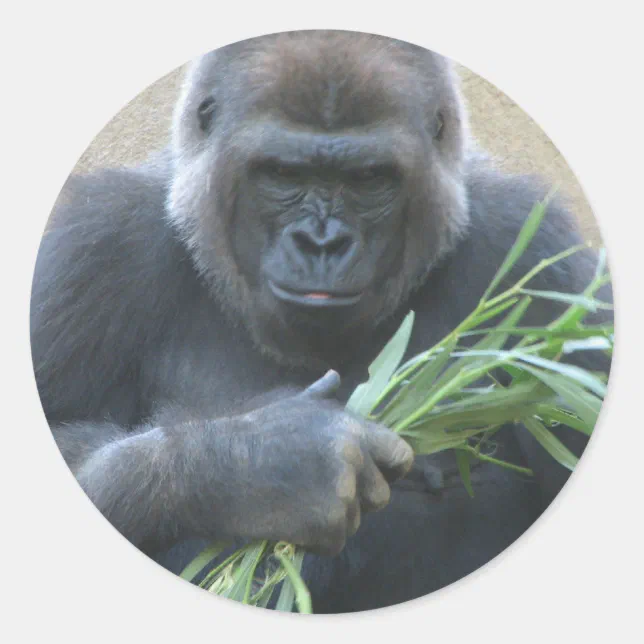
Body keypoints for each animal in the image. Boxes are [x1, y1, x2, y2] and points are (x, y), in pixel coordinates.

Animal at [31, 31, 612, 613]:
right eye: (284, 173)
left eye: (369, 178)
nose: (322, 243)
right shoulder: (94, 246)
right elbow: (65, 438)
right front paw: (266, 467)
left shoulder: (540, 255)